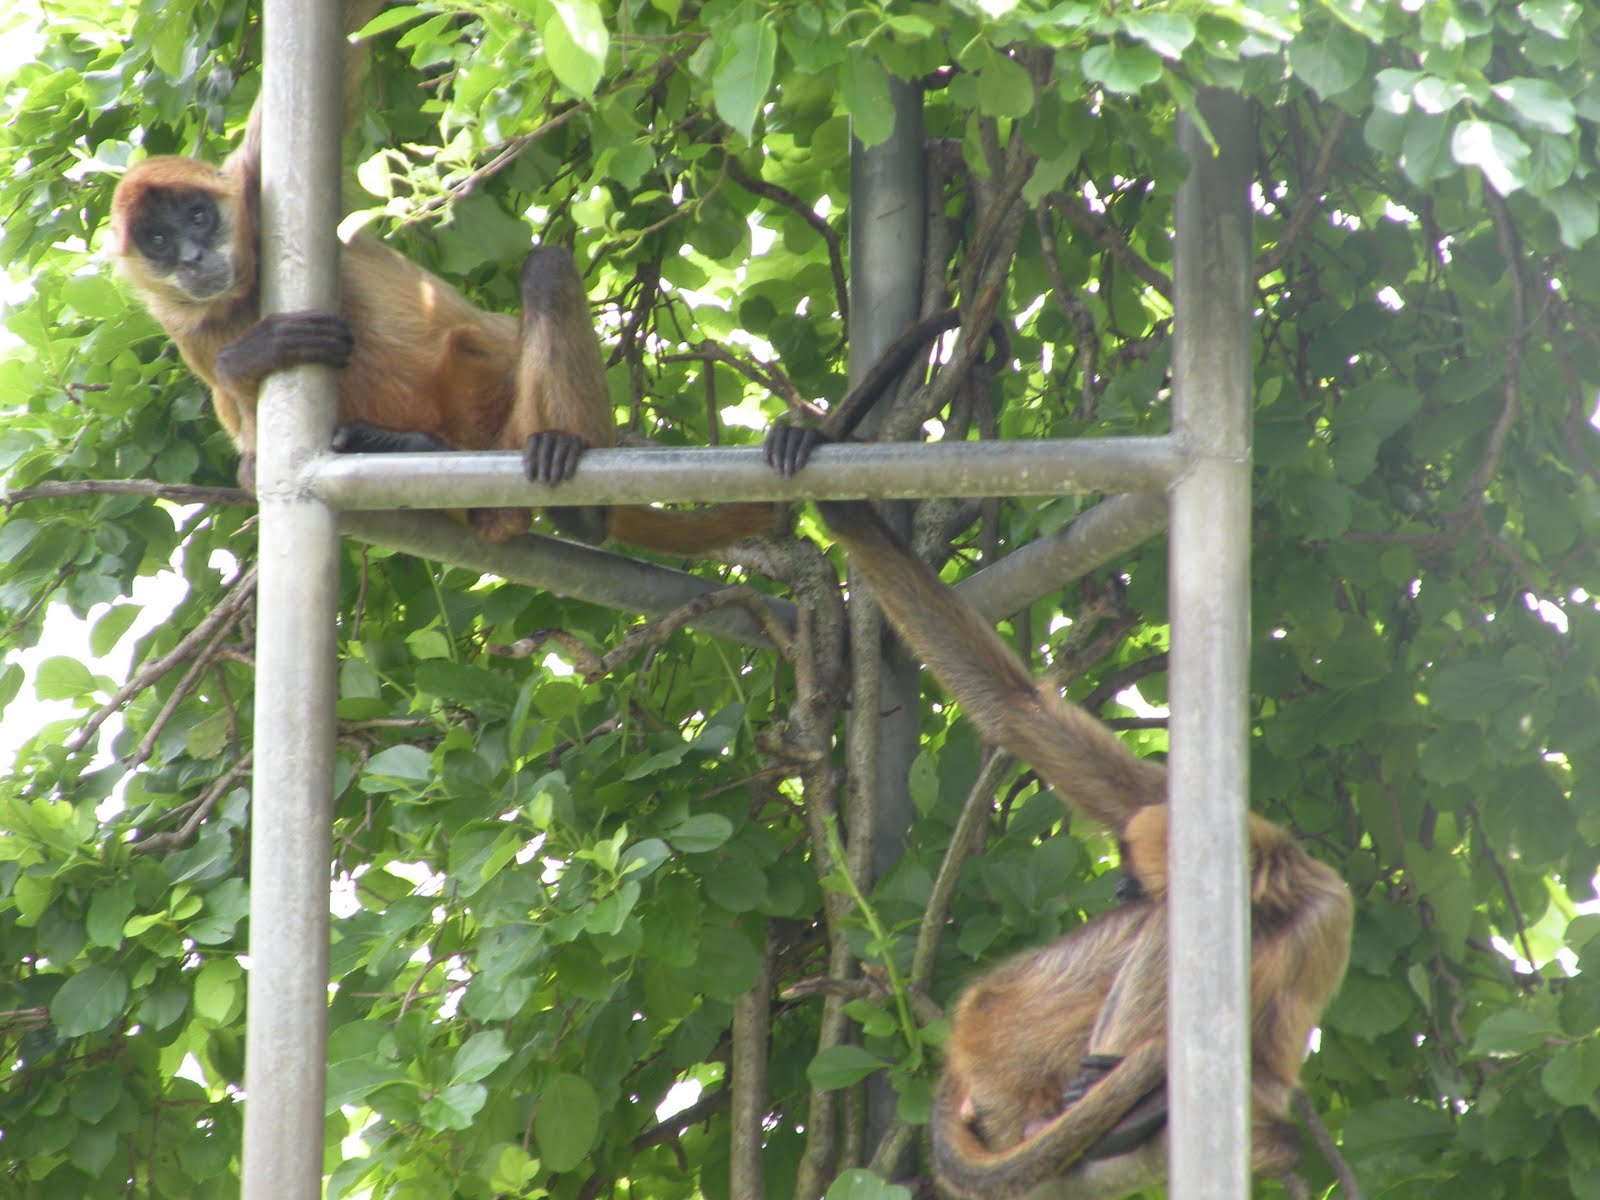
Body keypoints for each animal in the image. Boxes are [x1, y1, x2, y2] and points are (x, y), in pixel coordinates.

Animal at [109, 59, 774, 554]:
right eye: (159, 240)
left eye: (200, 216)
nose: (192, 255)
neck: (243, 290)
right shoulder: (186, 323)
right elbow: (242, 422)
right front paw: (253, 354)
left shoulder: (251, 184)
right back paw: (406, 449)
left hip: (504, 417)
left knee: (543, 278)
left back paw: (575, 501)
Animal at [797, 497, 1351, 1200]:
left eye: (1133, 870)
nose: (1119, 888)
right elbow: (1019, 711)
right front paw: (850, 517)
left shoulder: (1323, 918)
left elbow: (1271, 1074)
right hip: (1006, 1027)